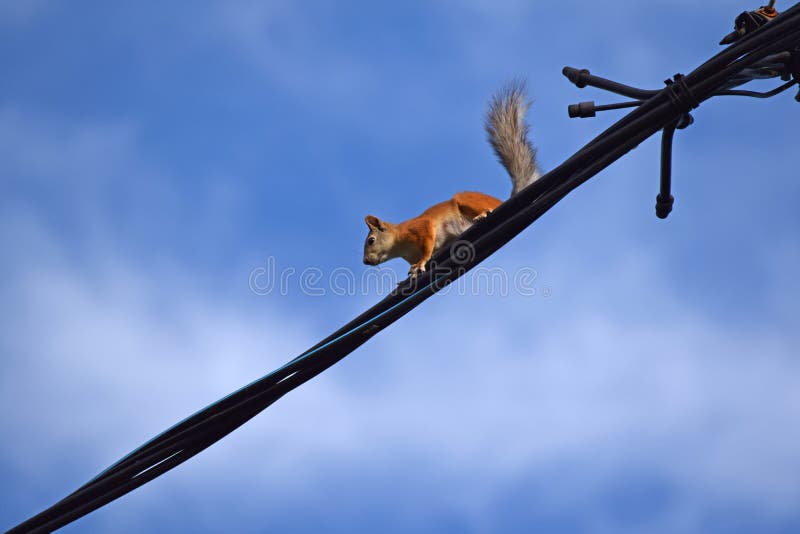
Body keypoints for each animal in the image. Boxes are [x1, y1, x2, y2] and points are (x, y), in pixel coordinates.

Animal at [363, 81, 541, 278]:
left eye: (371, 240)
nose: (365, 261)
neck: (401, 245)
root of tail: (503, 201)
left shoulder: (420, 228)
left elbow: (426, 246)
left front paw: (420, 263)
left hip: (467, 200)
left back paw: (484, 213)